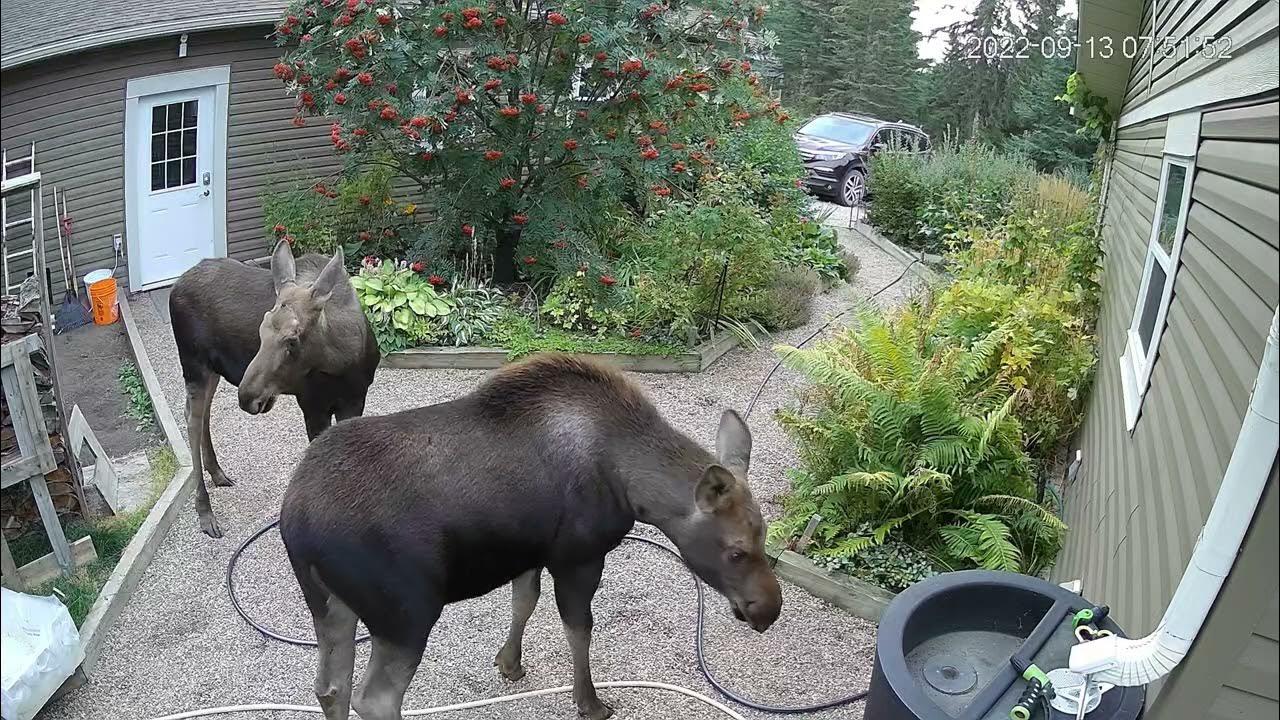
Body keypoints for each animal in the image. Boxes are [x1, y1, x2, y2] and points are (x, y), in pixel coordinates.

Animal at [169, 240, 379, 538]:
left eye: (292, 339)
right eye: (261, 330)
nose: (247, 396)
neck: (343, 362)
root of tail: (174, 288)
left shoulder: (355, 398)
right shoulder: (312, 405)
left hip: (212, 369)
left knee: (201, 412)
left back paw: (217, 473)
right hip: (194, 364)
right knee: (192, 419)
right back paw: (205, 511)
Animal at [279, 354, 783, 720]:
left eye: (765, 538)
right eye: (736, 551)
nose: (768, 610)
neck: (632, 487)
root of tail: (295, 522)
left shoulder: (530, 552)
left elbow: (523, 602)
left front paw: (510, 663)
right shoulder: (579, 557)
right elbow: (579, 630)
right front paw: (589, 703)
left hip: (329, 603)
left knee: (329, 687)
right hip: (405, 612)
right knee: (375, 699)